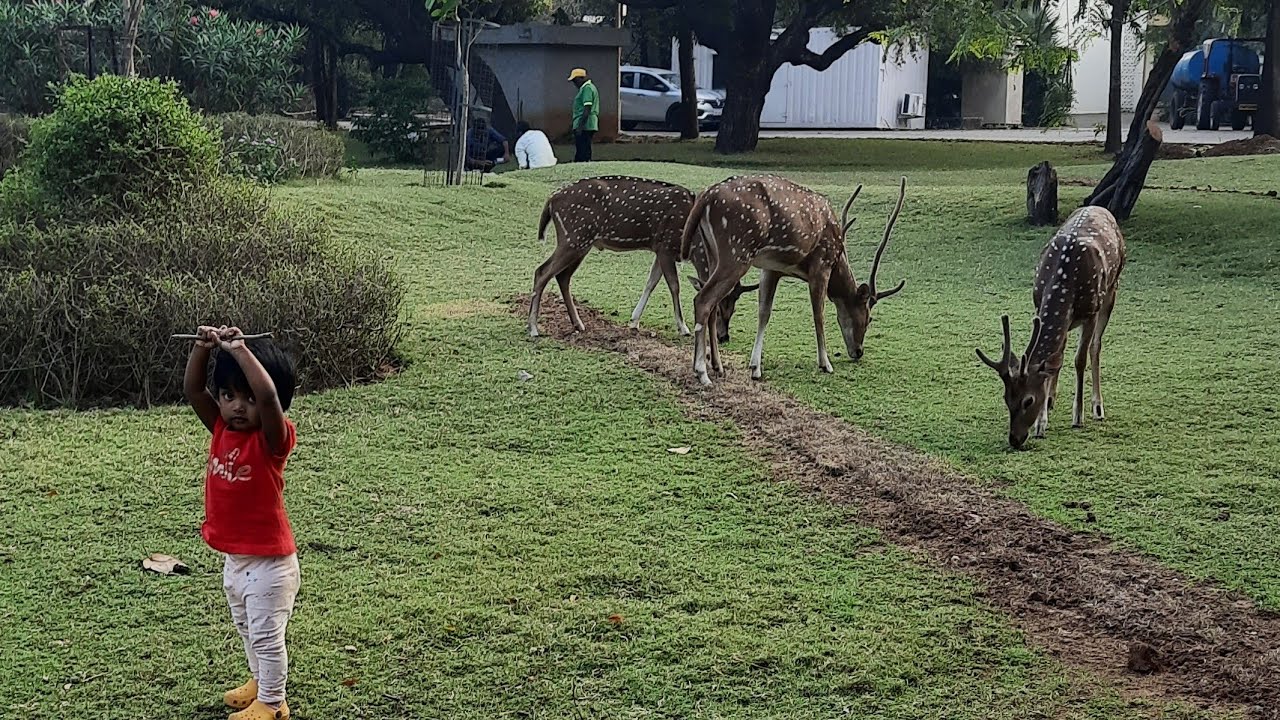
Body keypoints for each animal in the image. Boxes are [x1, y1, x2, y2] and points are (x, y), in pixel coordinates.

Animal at [528, 175, 758, 340]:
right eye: (718, 306)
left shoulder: (659, 249)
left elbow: (651, 282)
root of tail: (551, 201)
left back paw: (578, 324)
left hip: (581, 243)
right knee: (542, 271)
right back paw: (533, 328)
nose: (724, 336)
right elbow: (674, 286)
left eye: (734, 307)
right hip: (573, 237)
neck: (694, 245)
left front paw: (634, 321)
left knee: (562, 276)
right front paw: (683, 327)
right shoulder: (665, 246)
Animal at [681, 174, 907, 386]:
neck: (837, 259)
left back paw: (717, 366)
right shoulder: (821, 264)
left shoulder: (771, 268)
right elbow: (818, 314)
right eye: (869, 318)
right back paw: (701, 372)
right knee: (703, 300)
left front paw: (755, 367)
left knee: (710, 303)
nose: (859, 351)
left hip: (713, 253)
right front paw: (825, 363)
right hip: (737, 251)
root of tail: (706, 196)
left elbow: (764, 312)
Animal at [976, 205, 1127, 449]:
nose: (1014, 439)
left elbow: (1079, 359)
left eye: (1028, 400)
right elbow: (1052, 363)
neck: (1064, 282)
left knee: (1096, 346)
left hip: (1112, 289)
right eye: (1006, 398)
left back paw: (1097, 407)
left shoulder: (1090, 312)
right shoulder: (1039, 304)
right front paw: (1042, 423)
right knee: (1060, 355)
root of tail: (1098, 207)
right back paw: (1052, 399)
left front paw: (1077, 416)